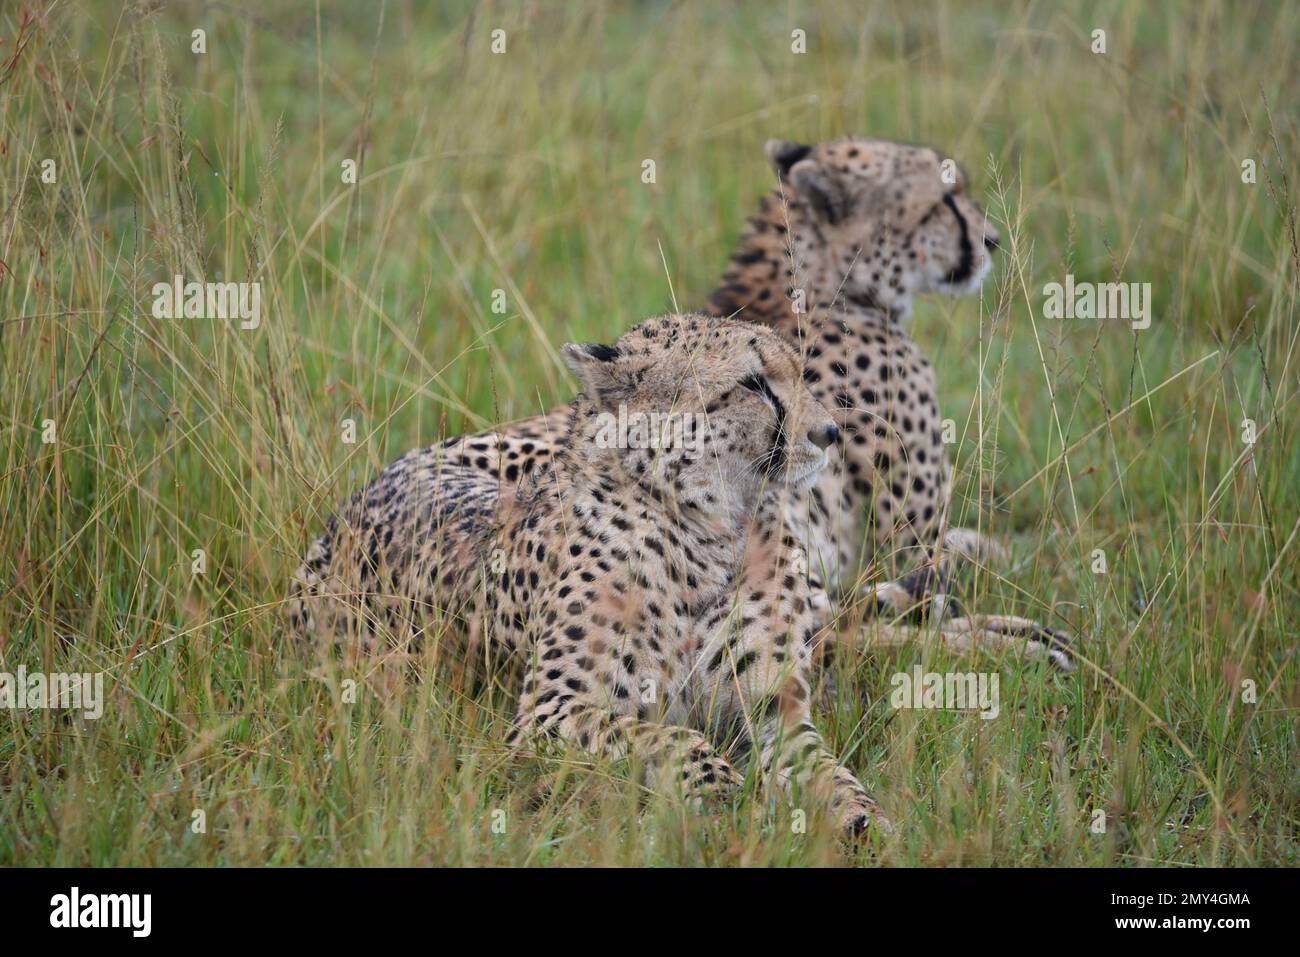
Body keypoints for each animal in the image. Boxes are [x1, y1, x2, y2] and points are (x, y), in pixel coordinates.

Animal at [289, 314, 887, 834]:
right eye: (753, 383)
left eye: (800, 373)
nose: (830, 433)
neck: (712, 527)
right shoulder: (547, 714)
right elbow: (666, 737)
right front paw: (723, 791)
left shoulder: (772, 707)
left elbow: (820, 763)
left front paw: (858, 814)